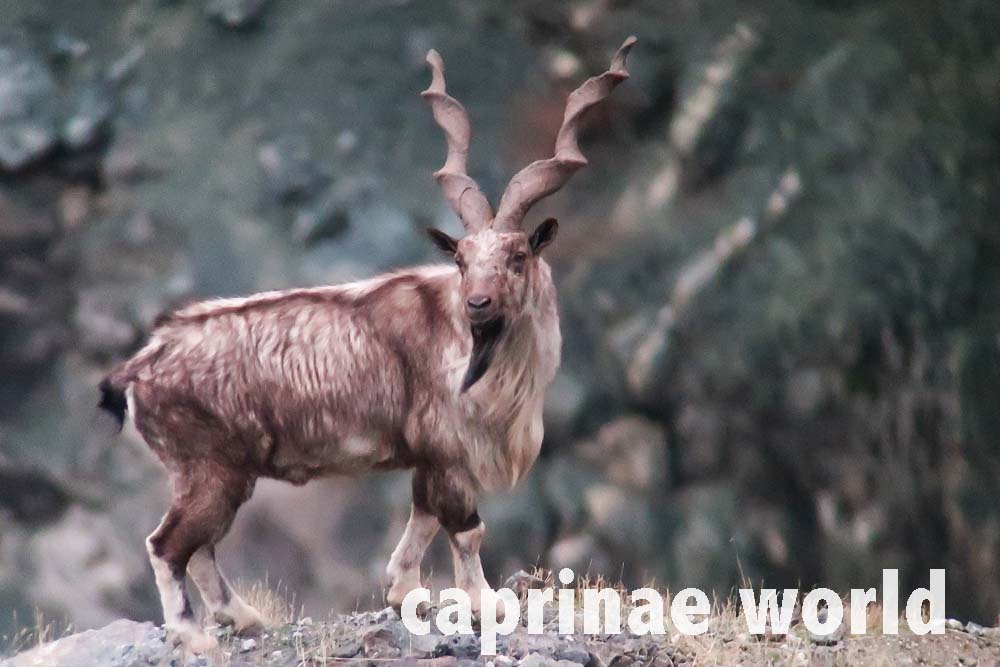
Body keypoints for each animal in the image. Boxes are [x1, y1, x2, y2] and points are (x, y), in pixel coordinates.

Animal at [99, 37, 635, 653]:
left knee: (202, 545)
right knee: (168, 545)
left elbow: (422, 518)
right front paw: (485, 604)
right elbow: (468, 529)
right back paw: (196, 636)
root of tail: (139, 367)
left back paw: (244, 618)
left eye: (518, 255)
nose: (478, 303)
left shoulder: (429, 458)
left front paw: (404, 591)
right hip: (208, 467)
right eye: (461, 258)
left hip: (218, 473)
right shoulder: (450, 449)